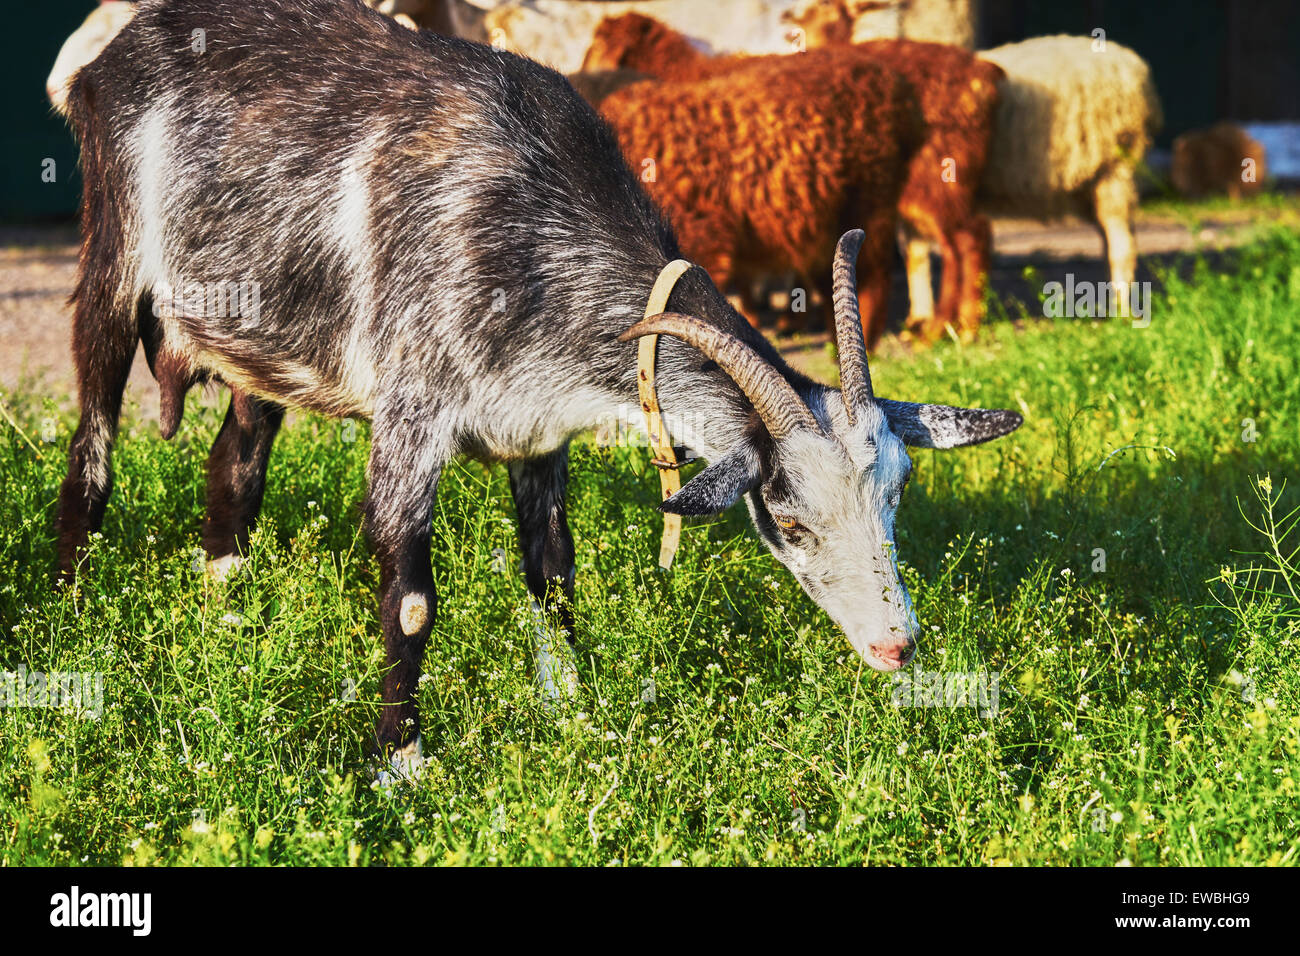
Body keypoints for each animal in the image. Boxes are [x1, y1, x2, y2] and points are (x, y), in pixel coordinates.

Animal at [57, 0, 1022, 776]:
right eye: (786, 520)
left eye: (896, 494)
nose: (897, 646)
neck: (534, 217)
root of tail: (109, 58)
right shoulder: (412, 415)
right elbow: (412, 601)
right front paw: (402, 761)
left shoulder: (536, 431)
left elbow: (554, 573)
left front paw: (574, 711)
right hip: (112, 261)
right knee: (89, 456)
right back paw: (72, 617)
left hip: (262, 343)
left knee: (235, 462)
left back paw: (227, 615)